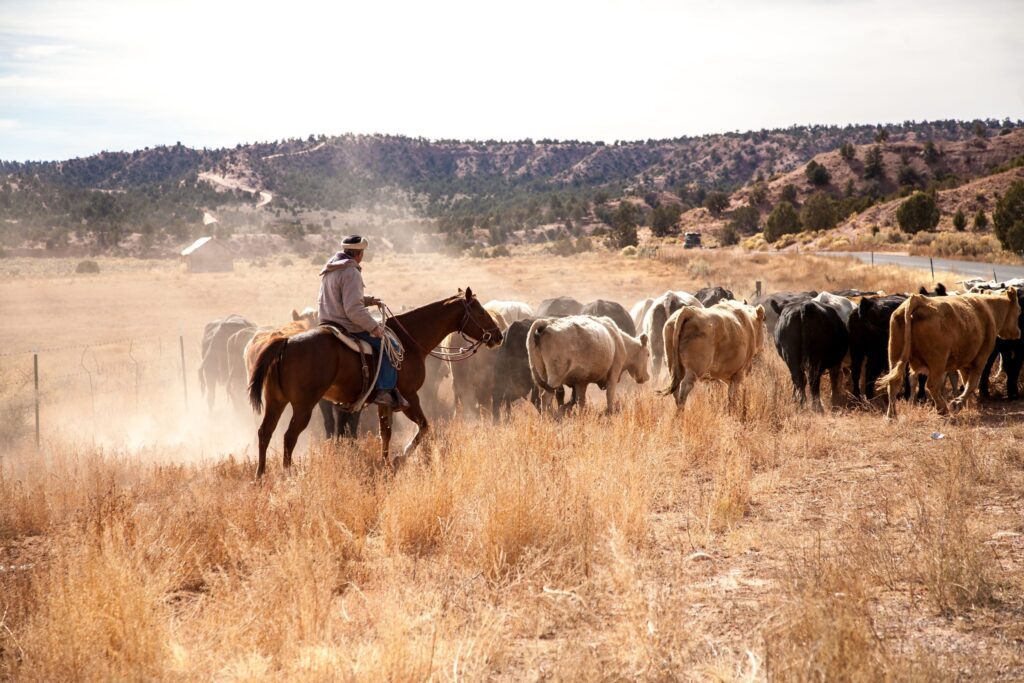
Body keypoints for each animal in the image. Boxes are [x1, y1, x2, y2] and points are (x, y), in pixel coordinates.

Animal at [878, 289, 1021, 417]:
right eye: (1019, 311)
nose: (1018, 332)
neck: (990, 310)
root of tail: (918, 300)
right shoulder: (980, 359)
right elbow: (972, 383)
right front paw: (957, 403)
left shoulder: (964, 363)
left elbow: (966, 381)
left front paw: (969, 403)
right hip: (938, 362)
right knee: (932, 385)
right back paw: (943, 409)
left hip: (895, 355)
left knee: (893, 384)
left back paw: (891, 415)